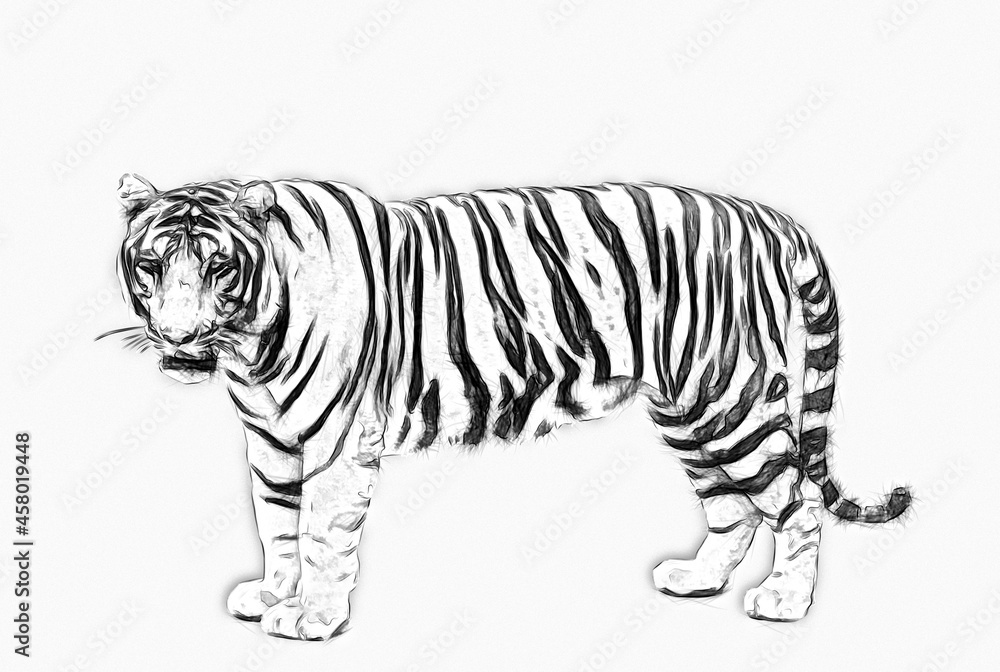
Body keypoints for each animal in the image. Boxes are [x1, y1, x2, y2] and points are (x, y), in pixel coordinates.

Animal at [110, 172, 911, 640]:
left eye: (219, 267)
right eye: (151, 266)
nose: (178, 337)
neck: (250, 347)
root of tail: (768, 215)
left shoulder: (335, 444)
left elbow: (318, 537)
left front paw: (310, 616)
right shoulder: (272, 441)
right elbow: (276, 523)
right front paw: (270, 594)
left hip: (729, 401)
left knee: (797, 503)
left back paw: (785, 603)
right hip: (688, 410)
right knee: (732, 506)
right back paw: (697, 580)